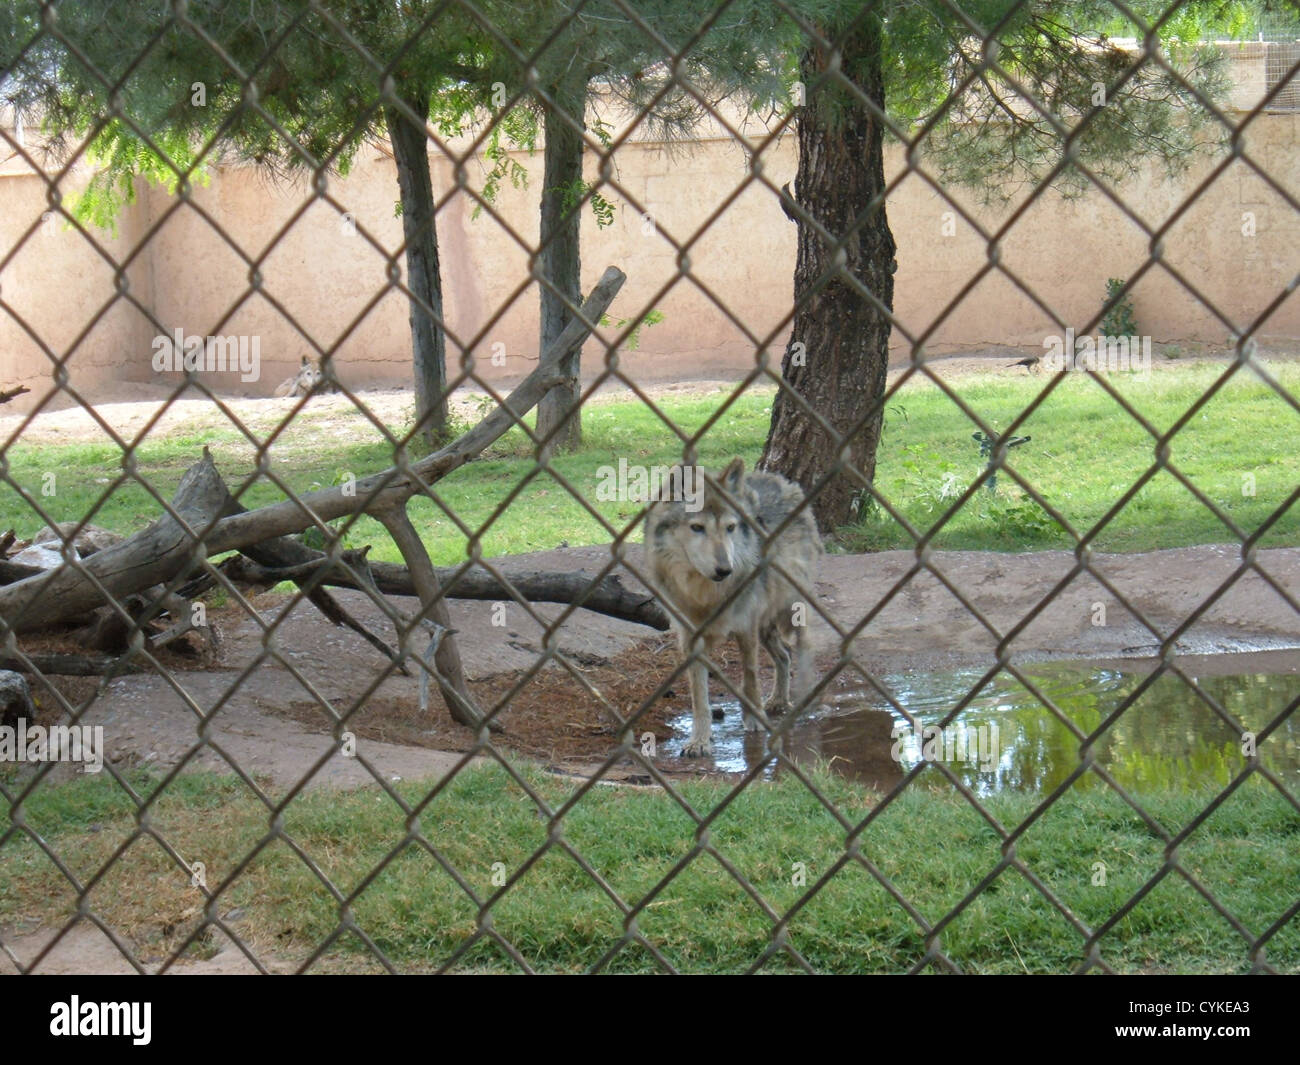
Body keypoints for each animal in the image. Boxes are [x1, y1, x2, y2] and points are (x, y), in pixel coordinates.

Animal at [643, 457, 821, 757]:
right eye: (697, 528)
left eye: (730, 528)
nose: (725, 569)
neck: (706, 595)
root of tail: (783, 481)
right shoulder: (690, 638)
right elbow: (699, 697)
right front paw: (699, 741)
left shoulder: (746, 625)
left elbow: (750, 677)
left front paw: (754, 719)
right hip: (766, 626)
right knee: (783, 656)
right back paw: (777, 700)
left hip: (789, 610)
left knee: (802, 650)